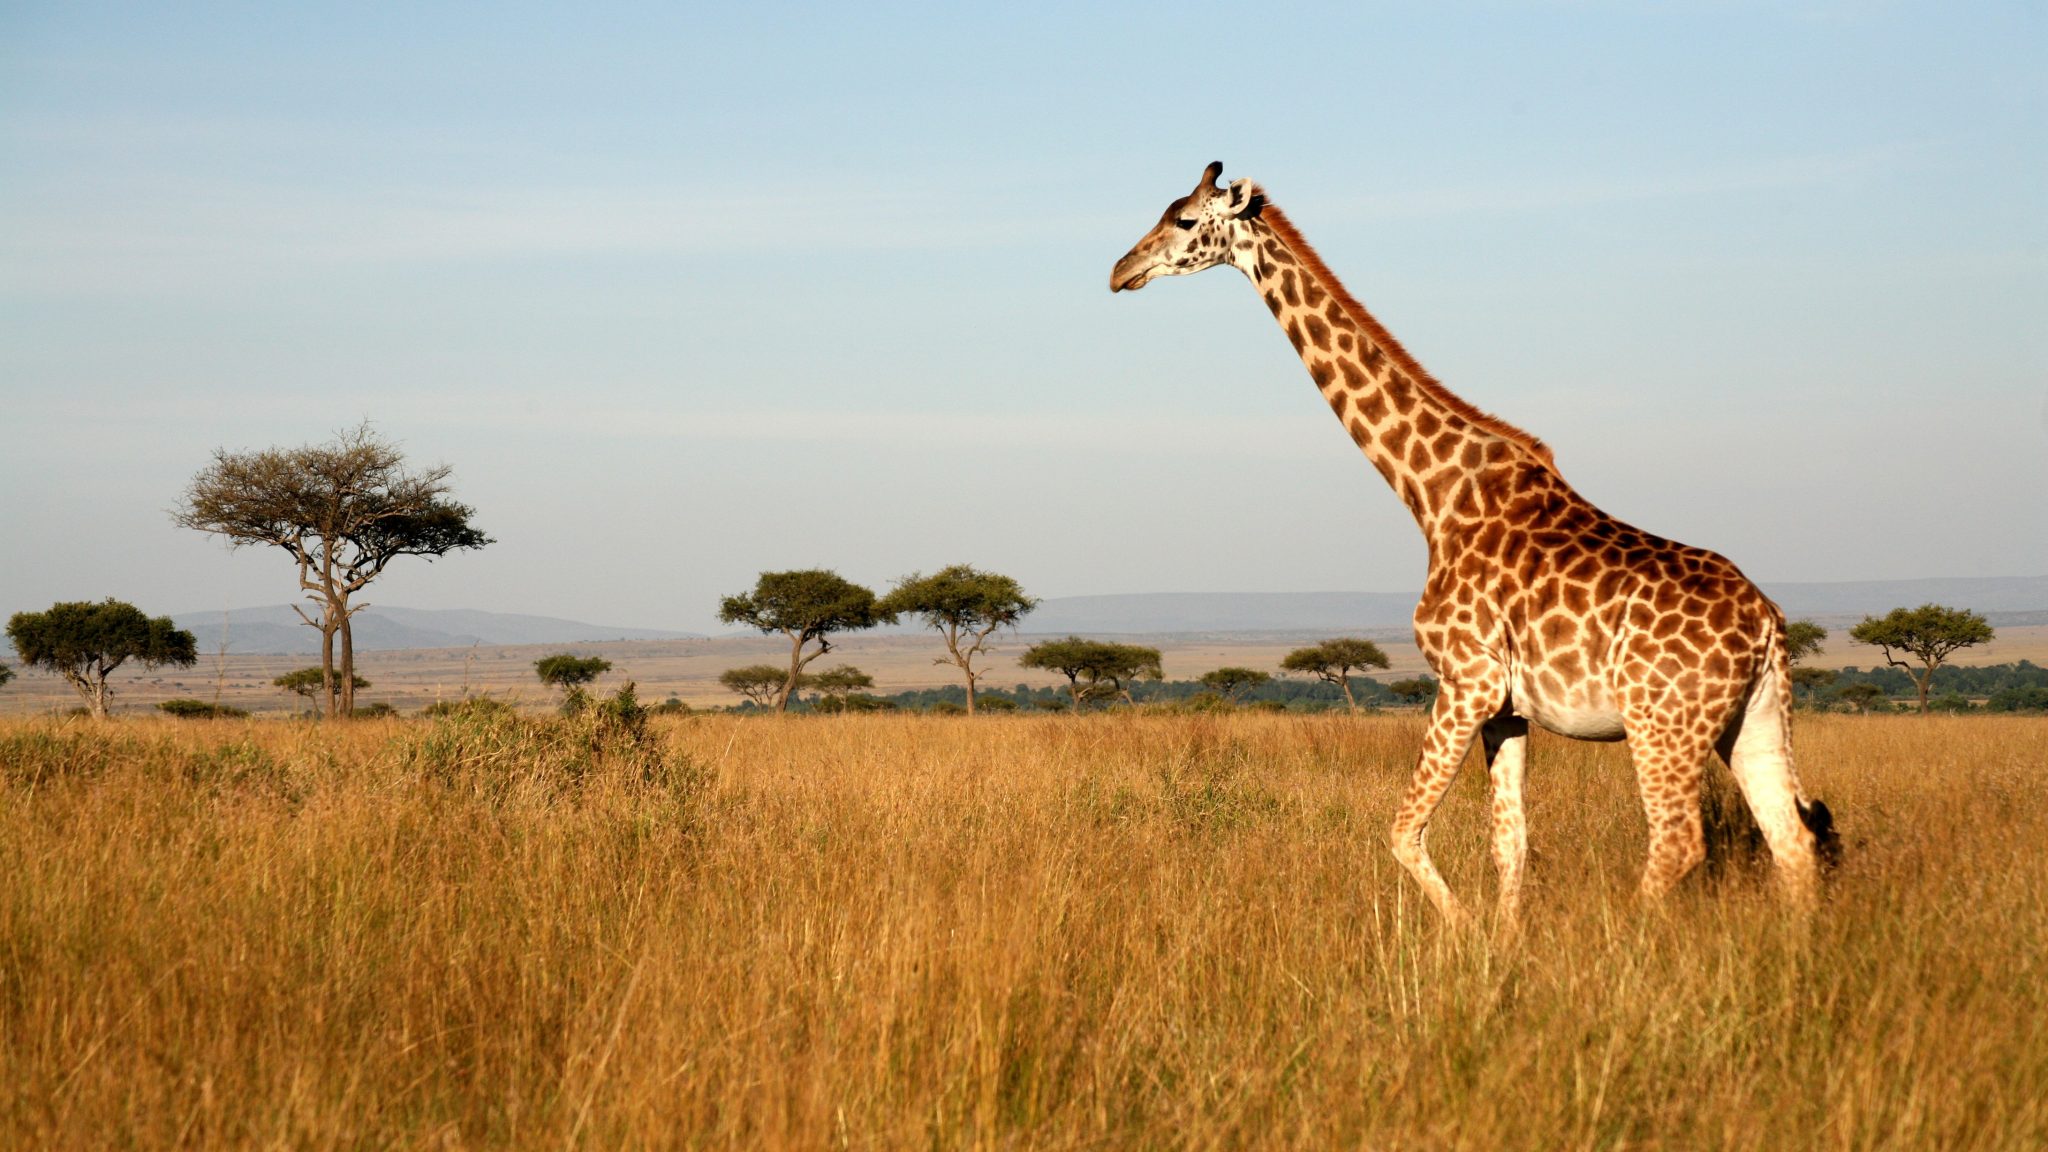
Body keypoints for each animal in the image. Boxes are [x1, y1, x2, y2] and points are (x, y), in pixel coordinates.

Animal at [1111, 162, 1839, 926]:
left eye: (1185, 219)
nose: (1120, 270)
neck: (1433, 495)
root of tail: (1768, 625)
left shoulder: (1466, 680)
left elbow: (1403, 831)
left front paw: (1465, 933)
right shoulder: (1508, 709)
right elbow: (1509, 842)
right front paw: (1505, 939)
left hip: (1661, 723)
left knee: (1678, 841)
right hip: (1753, 719)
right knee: (1789, 839)